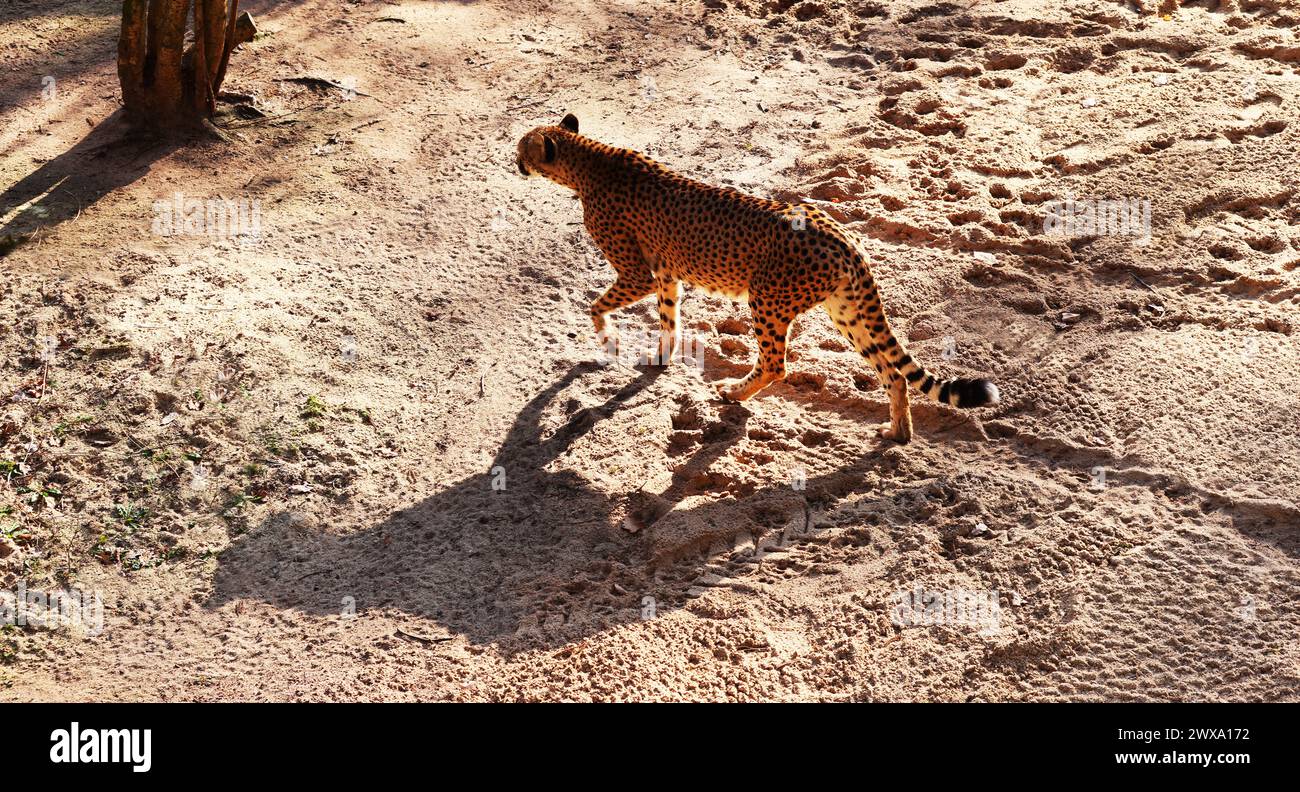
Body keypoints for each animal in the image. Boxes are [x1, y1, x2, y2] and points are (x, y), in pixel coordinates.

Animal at [515, 113, 999, 443]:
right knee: (892, 373)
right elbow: (669, 319)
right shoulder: (666, 273)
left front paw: (610, 339)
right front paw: (662, 357)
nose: (514, 162)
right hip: (845, 311)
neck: (585, 160)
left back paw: (734, 392)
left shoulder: (638, 274)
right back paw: (897, 433)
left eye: (523, 149)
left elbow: (595, 305)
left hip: (766, 299)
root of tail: (841, 233)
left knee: (775, 364)